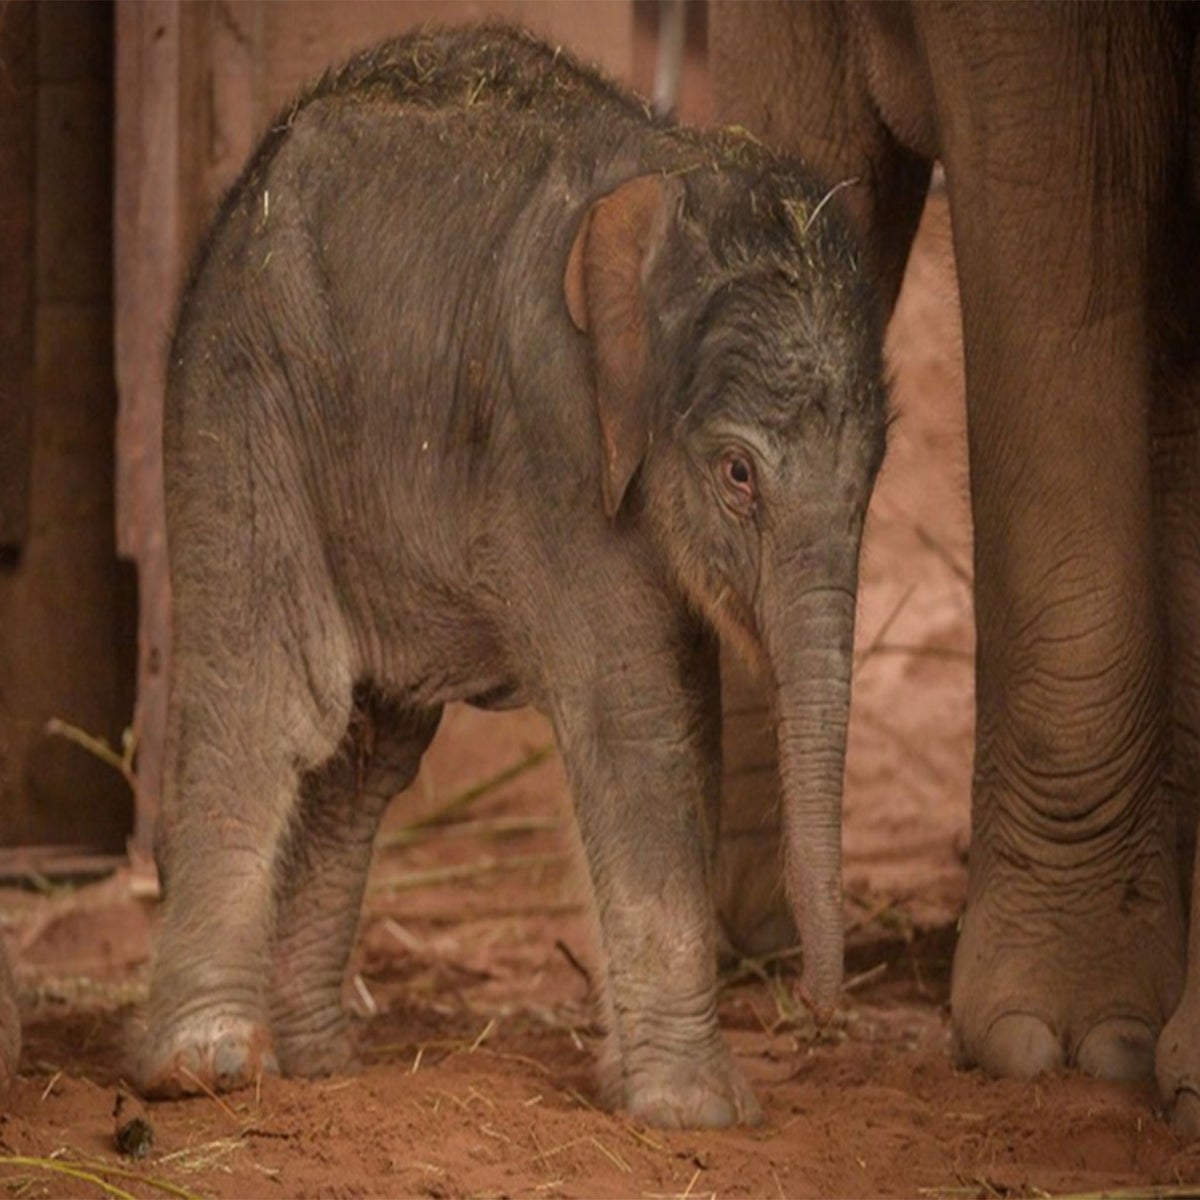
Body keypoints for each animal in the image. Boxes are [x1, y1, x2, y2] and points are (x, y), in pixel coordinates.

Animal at [134, 25, 887, 1129]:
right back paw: (205, 1067)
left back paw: (323, 1065)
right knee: (268, 700)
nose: (822, 1019)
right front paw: (697, 1112)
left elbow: (686, 715)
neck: (667, 175)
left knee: (366, 757)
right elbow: (636, 716)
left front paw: (664, 1093)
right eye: (738, 474)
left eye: (876, 471)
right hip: (243, 385)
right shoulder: (555, 436)